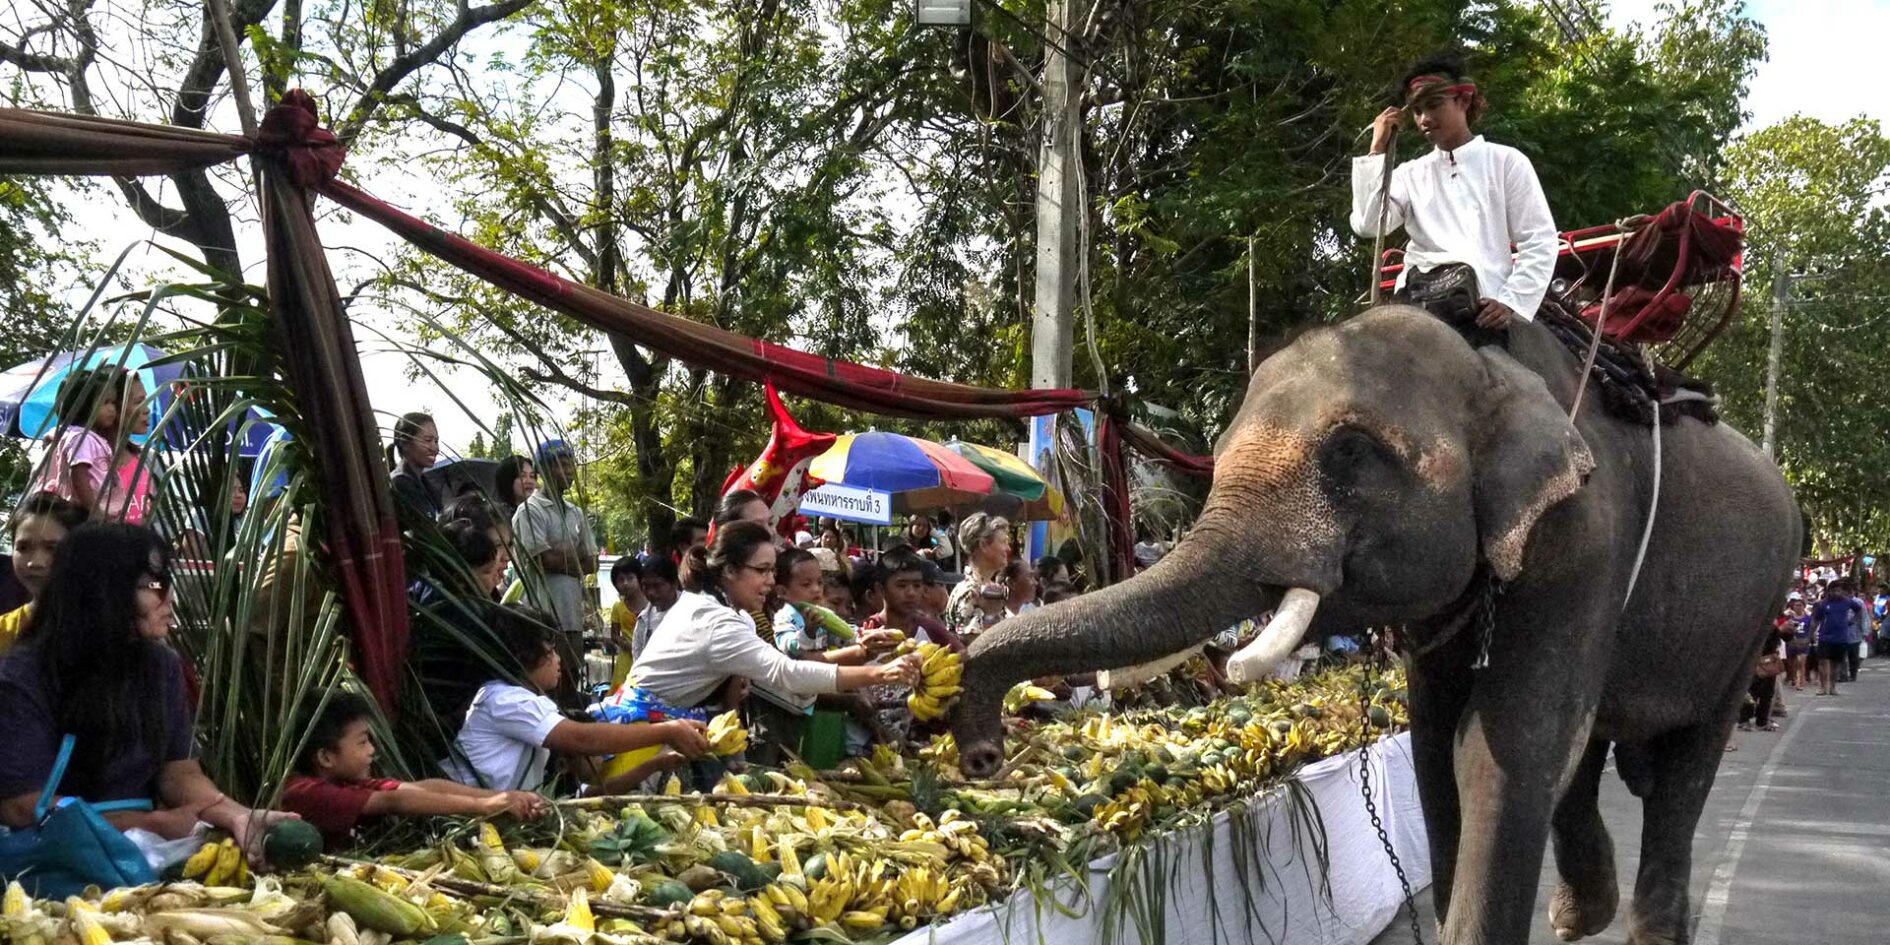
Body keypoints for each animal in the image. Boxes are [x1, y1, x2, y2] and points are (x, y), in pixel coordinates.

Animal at [953, 306, 1798, 945]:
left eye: (1351, 452)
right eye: (1215, 451)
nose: (982, 754)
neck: (1487, 365)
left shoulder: (1583, 543)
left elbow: (1502, 747)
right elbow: (1436, 745)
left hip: (1757, 611)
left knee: (1680, 767)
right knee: (1592, 748)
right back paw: (1579, 915)